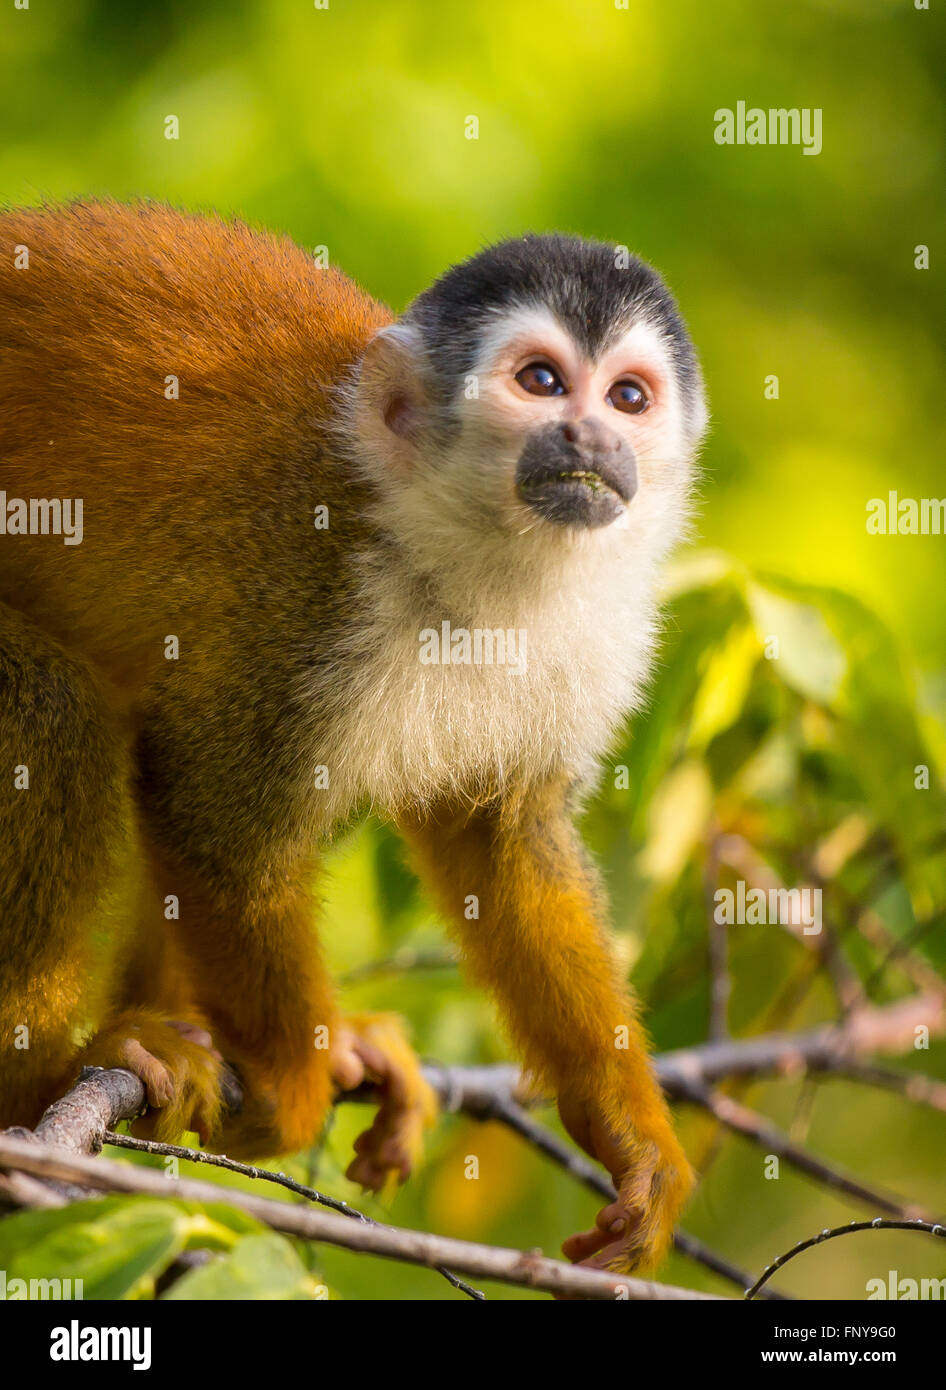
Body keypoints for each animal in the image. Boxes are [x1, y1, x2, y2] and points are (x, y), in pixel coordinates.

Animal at [0, 201, 707, 1273]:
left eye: (630, 397)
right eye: (542, 381)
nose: (590, 435)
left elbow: (503, 839)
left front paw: (631, 1135)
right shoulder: (304, 579)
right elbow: (212, 812)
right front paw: (295, 1080)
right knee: (57, 709)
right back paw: (44, 1082)